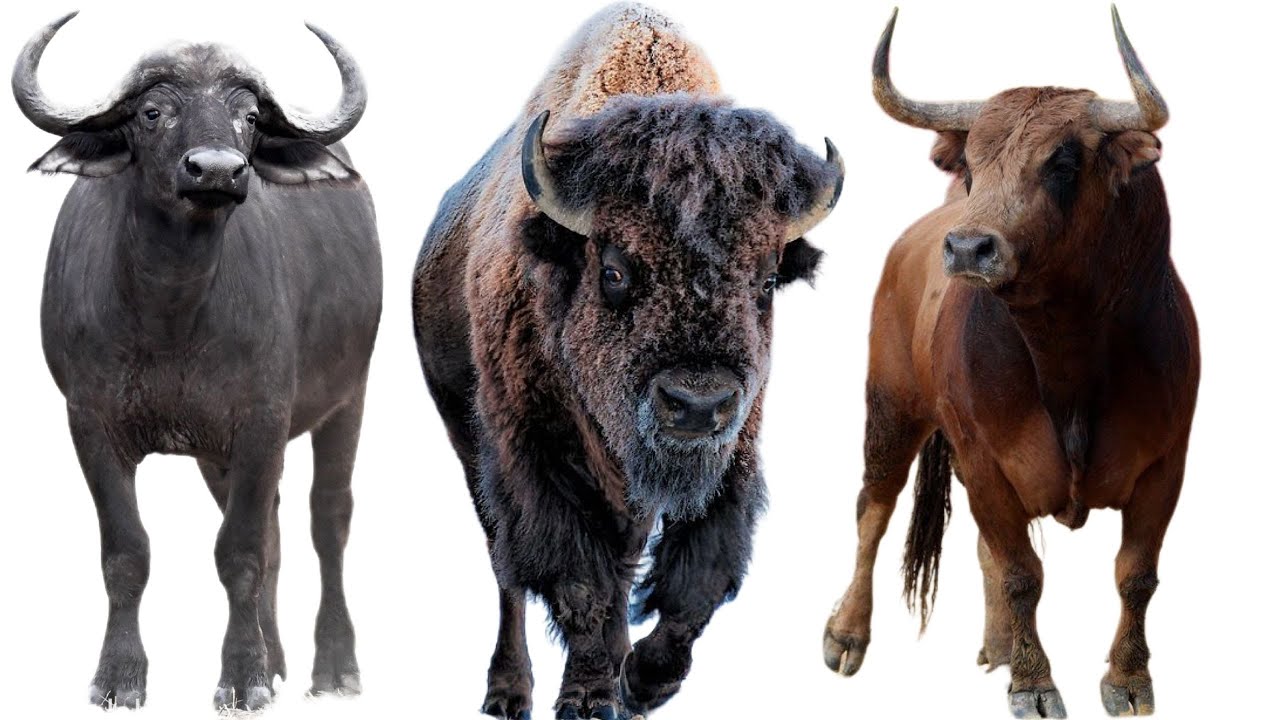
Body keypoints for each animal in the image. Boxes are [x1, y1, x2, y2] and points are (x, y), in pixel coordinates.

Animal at [13, 12, 381, 711]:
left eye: (250, 117)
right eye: (152, 111)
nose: (216, 171)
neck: (170, 315)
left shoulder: (263, 421)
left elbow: (239, 552)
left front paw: (241, 679)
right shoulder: (90, 423)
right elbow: (128, 553)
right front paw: (119, 678)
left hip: (348, 399)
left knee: (328, 520)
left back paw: (335, 667)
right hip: (219, 456)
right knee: (276, 530)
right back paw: (278, 659)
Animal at [412, 4, 842, 718]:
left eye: (764, 282)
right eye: (615, 270)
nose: (697, 403)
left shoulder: (728, 457)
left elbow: (699, 577)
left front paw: (643, 681)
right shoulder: (536, 456)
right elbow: (579, 579)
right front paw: (590, 696)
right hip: (469, 444)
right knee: (507, 567)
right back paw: (509, 690)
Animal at [821, 7, 1197, 719]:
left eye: (1065, 160)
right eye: (972, 160)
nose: (969, 247)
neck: (1069, 362)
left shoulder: (1167, 463)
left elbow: (1136, 575)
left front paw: (1128, 678)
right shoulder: (984, 457)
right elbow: (1023, 573)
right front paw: (1035, 683)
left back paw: (997, 645)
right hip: (890, 408)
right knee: (873, 509)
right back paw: (847, 633)